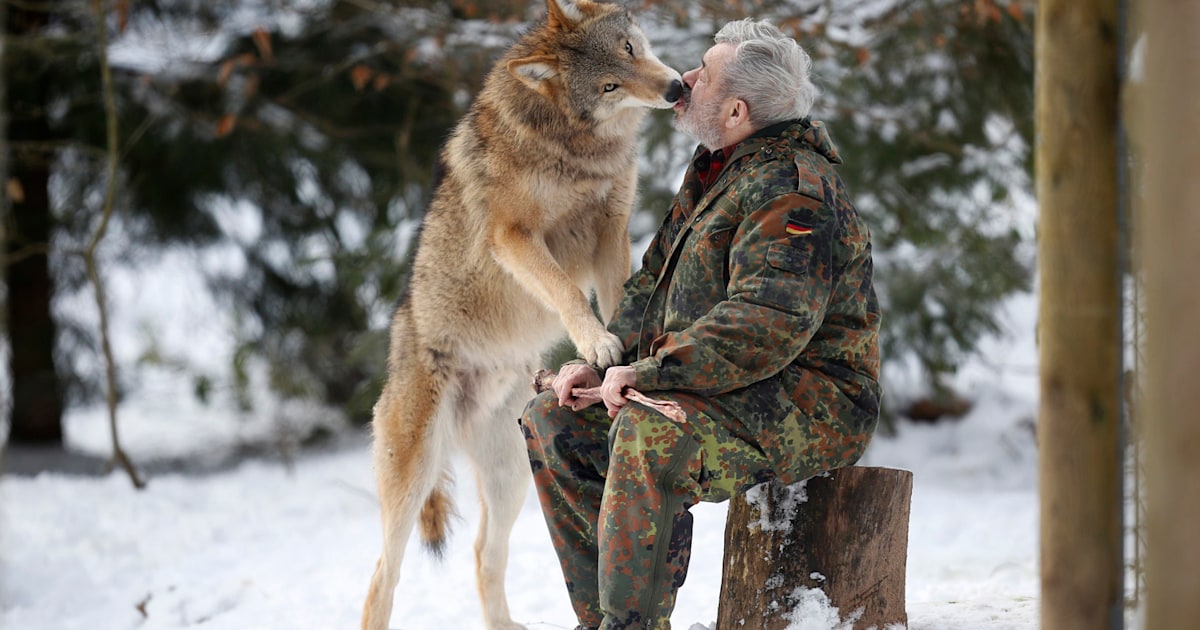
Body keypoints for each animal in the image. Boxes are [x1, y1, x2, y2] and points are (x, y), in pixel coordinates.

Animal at [360, 1, 682, 628]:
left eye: (631, 50)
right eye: (608, 85)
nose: (677, 88)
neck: (575, 146)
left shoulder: (611, 229)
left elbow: (617, 295)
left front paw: (619, 360)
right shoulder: (513, 237)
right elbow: (566, 290)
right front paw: (597, 344)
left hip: (511, 474)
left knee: (484, 554)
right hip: (413, 478)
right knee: (382, 580)